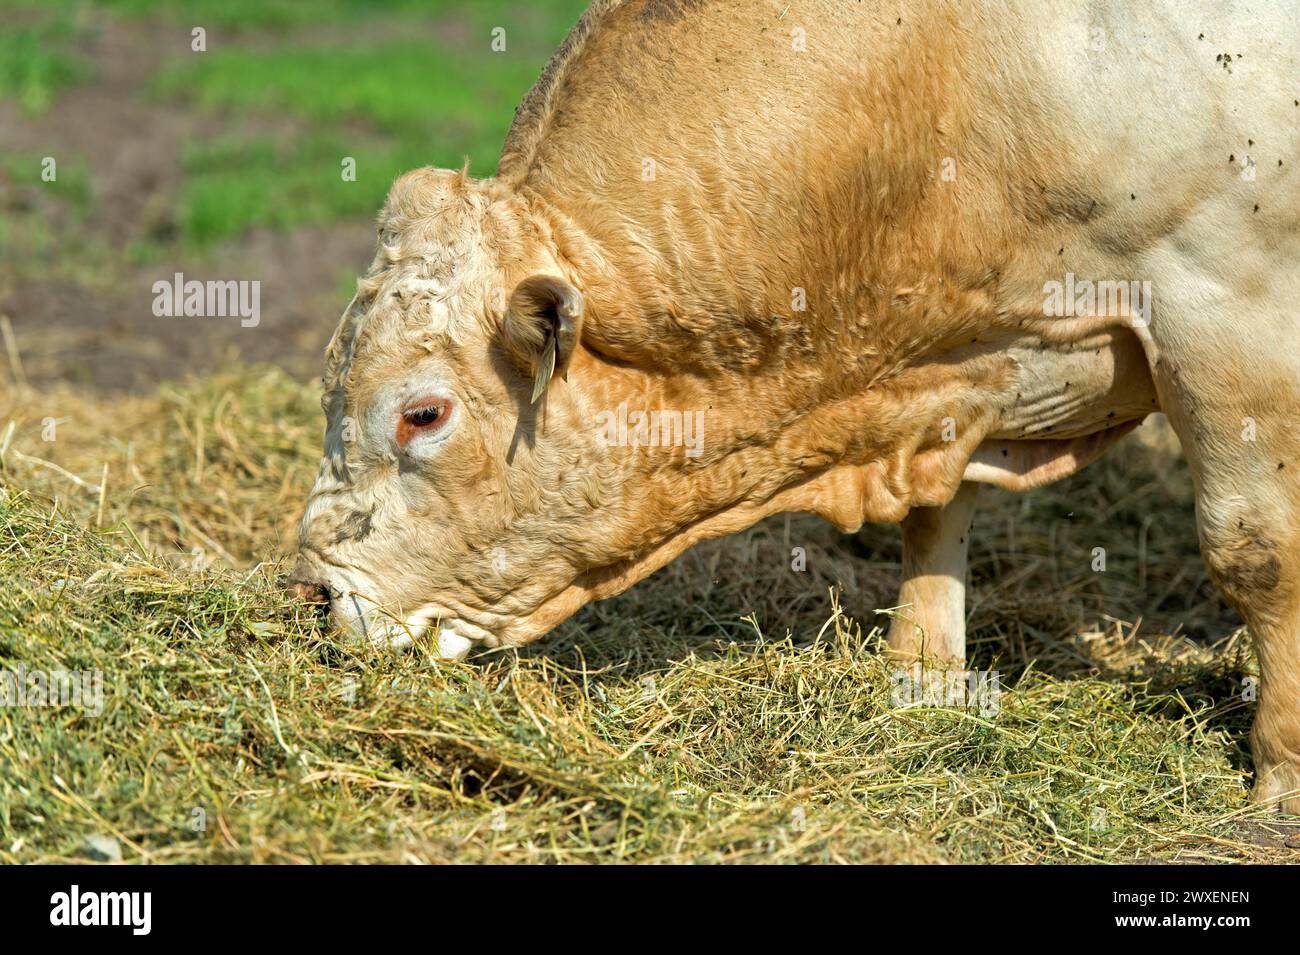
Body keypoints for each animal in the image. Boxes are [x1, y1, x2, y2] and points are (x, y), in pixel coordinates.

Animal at [291, 0, 1300, 812]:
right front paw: (922, 682)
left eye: (422, 414)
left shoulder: (1226, 303)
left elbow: (1254, 549)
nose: (309, 593)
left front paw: (1279, 780)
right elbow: (936, 516)